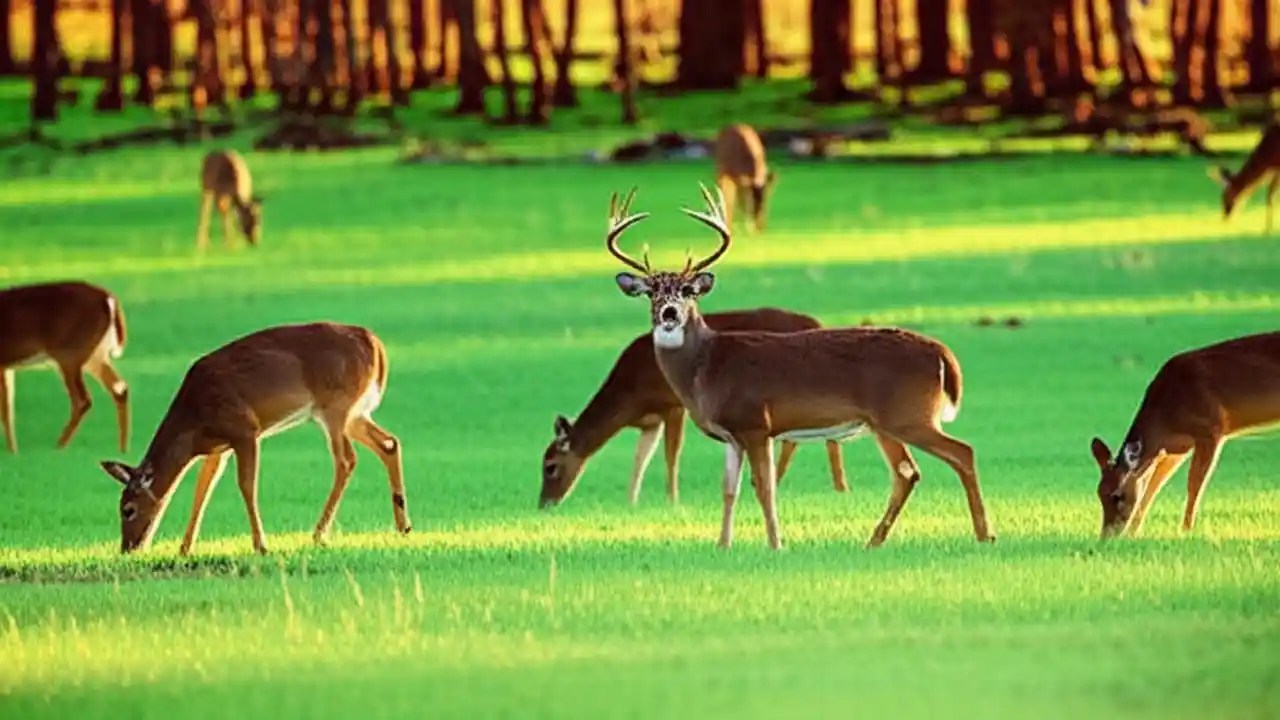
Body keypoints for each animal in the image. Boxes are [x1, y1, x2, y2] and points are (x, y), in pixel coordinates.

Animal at [0, 281, 129, 454]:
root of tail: (109, 298)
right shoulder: (5, 366)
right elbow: (7, 409)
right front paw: (13, 452)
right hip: (95, 355)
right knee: (119, 388)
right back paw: (122, 449)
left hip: (69, 354)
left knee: (83, 400)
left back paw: (58, 447)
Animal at [98, 322, 411, 555]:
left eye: (128, 509)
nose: (127, 548)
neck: (194, 423)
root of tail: (377, 346)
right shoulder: (218, 448)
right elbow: (203, 489)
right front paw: (185, 548)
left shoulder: (245, 430)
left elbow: (246, 485)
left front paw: (261, 545)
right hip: (354, 413)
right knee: (389, 443)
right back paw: (403, 525)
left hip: (336, 406)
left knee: (346, 460)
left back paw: (319, 534)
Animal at [540, 308, 853, 509]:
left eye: (550, 467)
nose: (544, 503)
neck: (630, 393)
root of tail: (818, 323)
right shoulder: (649, 421)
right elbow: (640, 458)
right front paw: (631, 503)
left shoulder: (673, 404)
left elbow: (671, 454)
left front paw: (672, 500)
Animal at [603, 188, 992, 550]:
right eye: (651, 292)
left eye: (688, 290)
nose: (669, 313)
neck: (705, 367)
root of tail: (943, 354)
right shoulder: (732, 435)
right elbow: (729, 489)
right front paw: (723, 545)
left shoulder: (756, 424)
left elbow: (765, 488)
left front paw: (776, 545)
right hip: (886, 422)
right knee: (907, 472)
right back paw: (875, 540)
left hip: (907, 414)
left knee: (961, 453)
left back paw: (984, 534)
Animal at [1088, 331, 1280, 540]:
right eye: (1099, 493)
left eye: (1117, 495)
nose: (1106, 536)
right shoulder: (1175, 449)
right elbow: (1152, 487)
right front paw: (1134, 533)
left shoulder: (1211, 429)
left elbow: (1194, 485)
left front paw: (1185, 531)